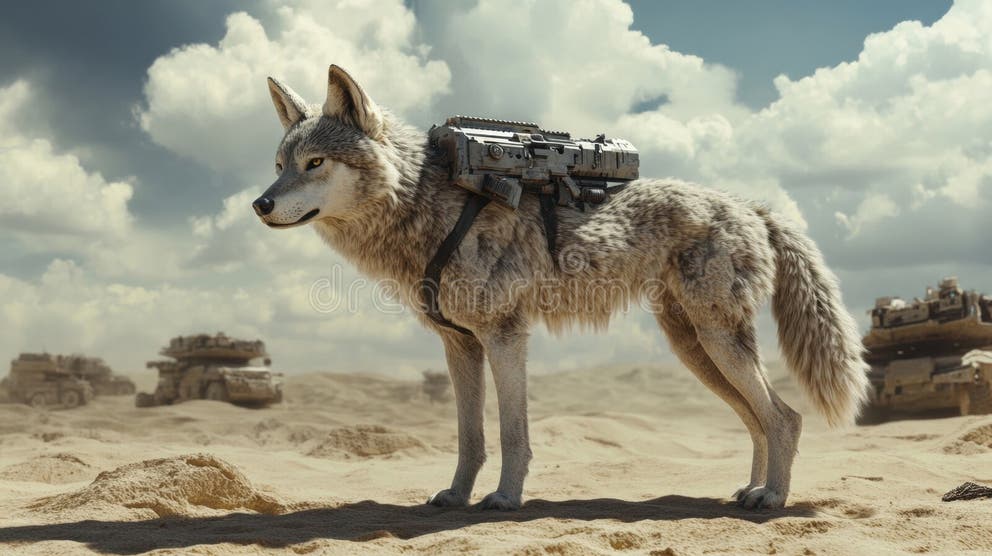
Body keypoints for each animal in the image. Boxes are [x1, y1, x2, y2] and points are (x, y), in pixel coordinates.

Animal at [253, 65, 870, 511]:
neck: (428, 207)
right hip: (698, 352)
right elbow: (469, 437)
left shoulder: (504, 337)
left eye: (315, 162)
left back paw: (772, 498)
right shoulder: (459, 346)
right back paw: (750, 490)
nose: (259, 204)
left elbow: (512, 434)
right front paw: (456, 496)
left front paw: (505, 499)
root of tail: (754, 207)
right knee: (759, 420)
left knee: (784, 418)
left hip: (717, 345)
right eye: (281, 164)